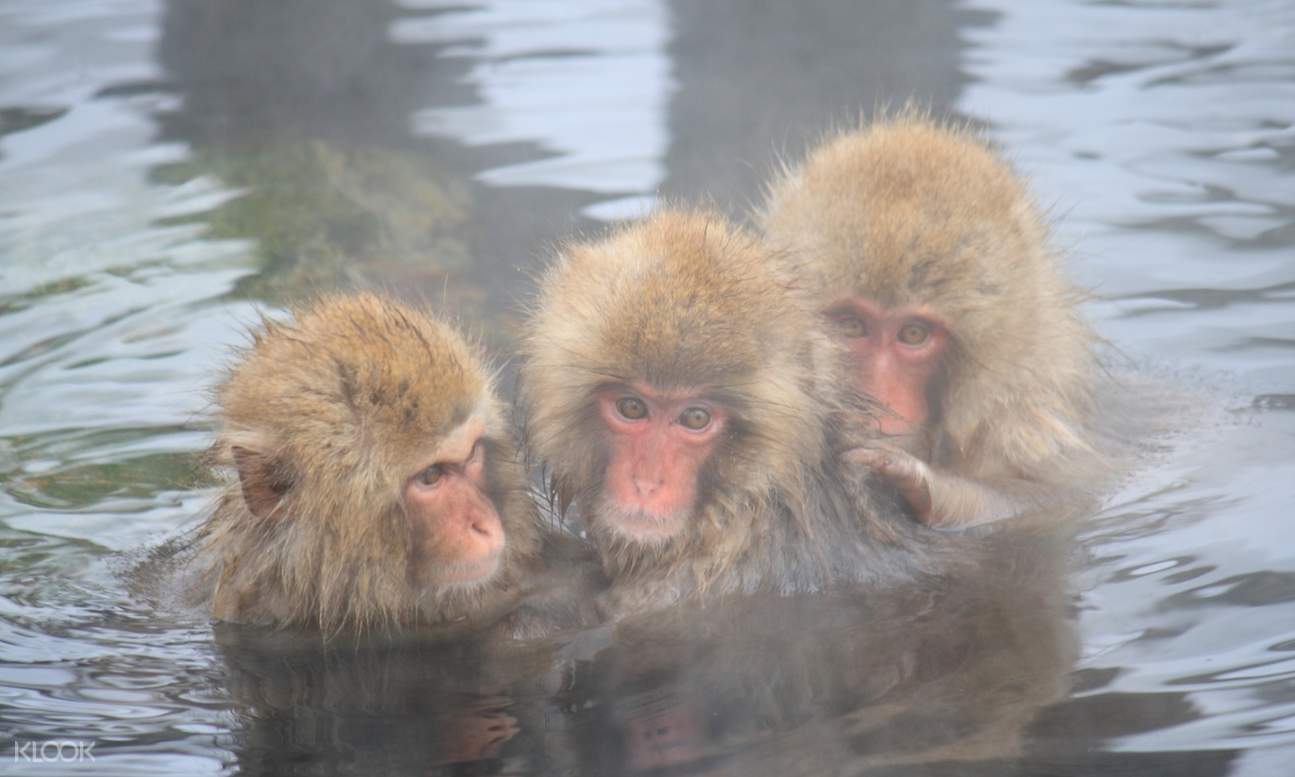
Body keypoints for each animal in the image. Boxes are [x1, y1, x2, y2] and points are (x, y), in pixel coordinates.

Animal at [759, 114, 1106, 529]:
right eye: (853, 326)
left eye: (913, 334)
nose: (878, 405)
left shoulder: (1027, 429)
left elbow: (1058, 497)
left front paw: (926, 483)